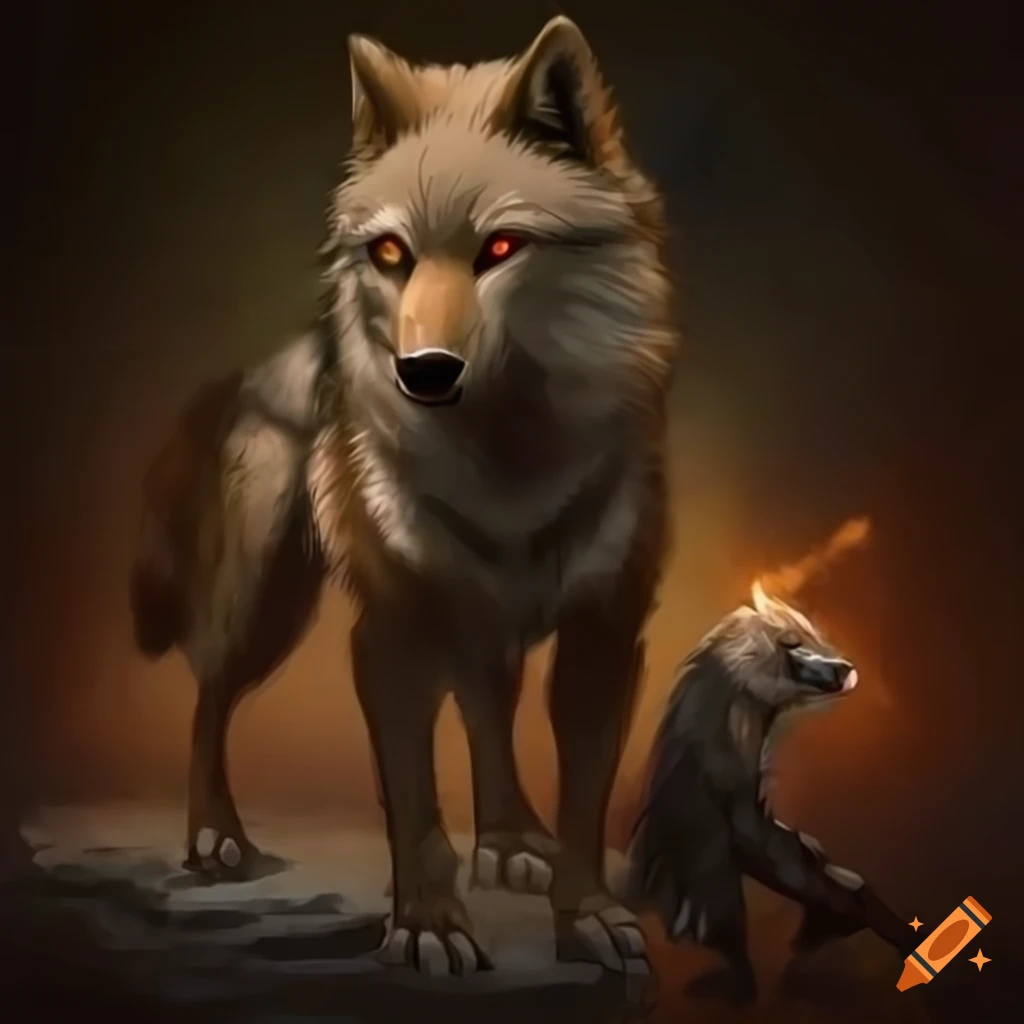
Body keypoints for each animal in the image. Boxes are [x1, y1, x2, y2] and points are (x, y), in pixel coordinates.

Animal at [129, 16, 677, 976]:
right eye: (391, 253)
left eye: (501, 248)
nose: (422, 372)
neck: (510, 468)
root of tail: (283, 357)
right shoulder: (390, 633)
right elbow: (414, 801)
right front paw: (427, 925)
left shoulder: (606, 632)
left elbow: (582, 798)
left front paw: (587, 915)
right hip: (267, 607)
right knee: (208, 693)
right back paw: (215, 836)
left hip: (481, 630)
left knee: (488, 712)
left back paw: (510, 838)